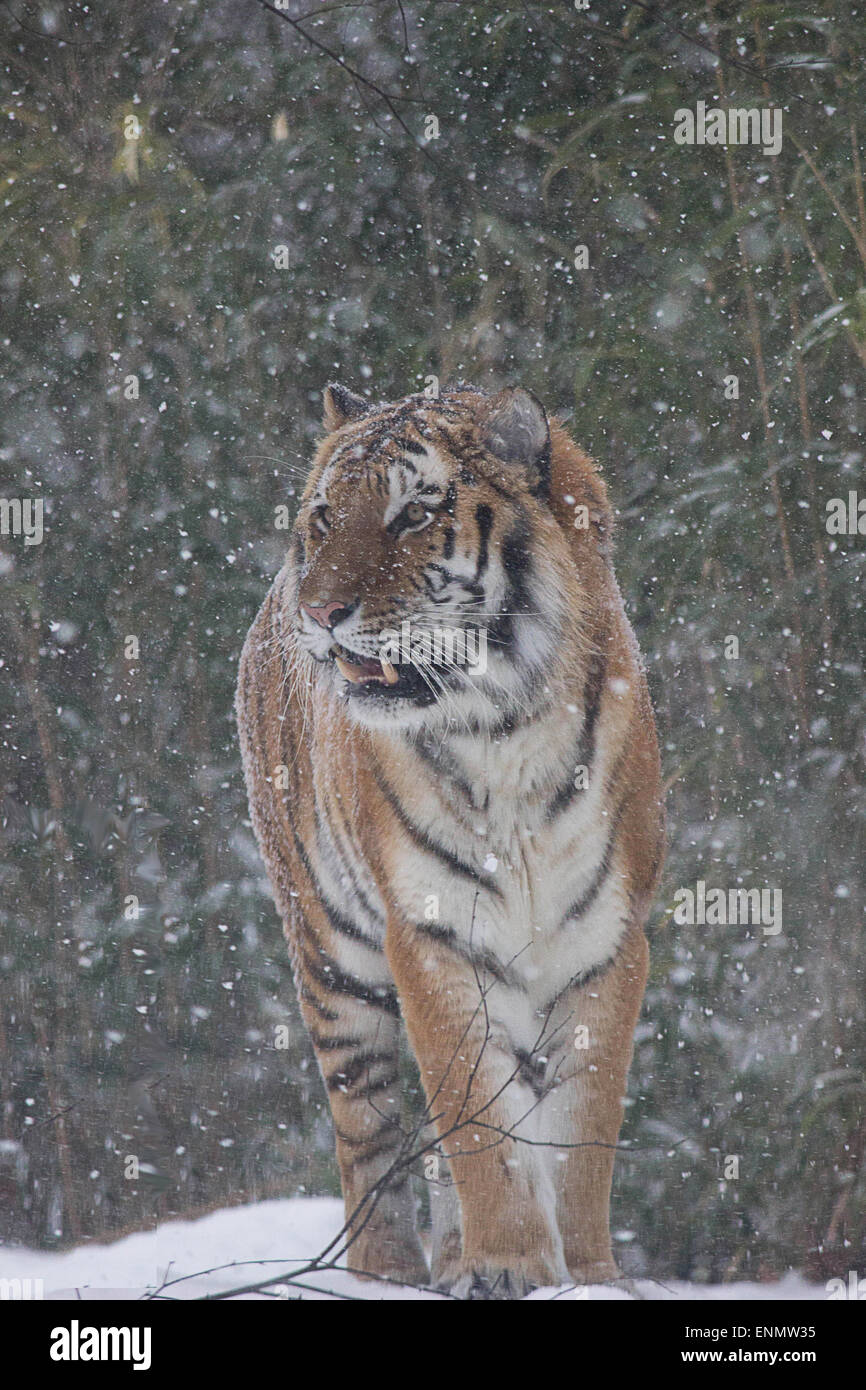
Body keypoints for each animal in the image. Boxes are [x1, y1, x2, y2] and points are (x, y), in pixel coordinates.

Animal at [236, 383, 665, 1299]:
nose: (318, 613)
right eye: (325, 517)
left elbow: (581, 1135)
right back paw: (385, 1276)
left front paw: (588, 1273)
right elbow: (482, 1132)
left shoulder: (606, 942)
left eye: (411, 515)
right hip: (332, 963)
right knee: (367, 1138)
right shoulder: (432, 935)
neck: (506, 725)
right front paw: (511, 1262)